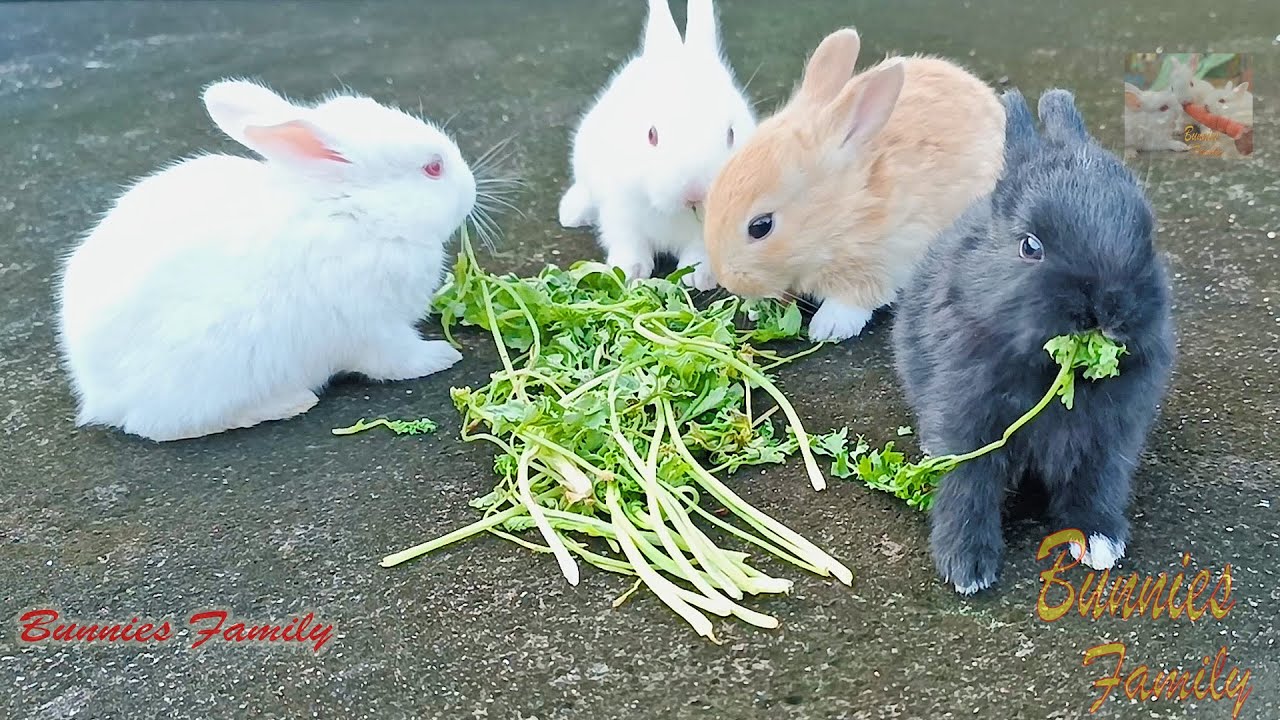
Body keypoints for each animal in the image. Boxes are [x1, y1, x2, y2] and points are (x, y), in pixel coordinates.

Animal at [55, 79, 476, 442]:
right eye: (433, 168)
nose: (471, 189)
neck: (357, 213)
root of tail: (100, 397)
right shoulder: (373, 327)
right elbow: (397, 359)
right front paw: (443, 356)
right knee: (163, 427)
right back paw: (288, 403)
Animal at [558, 0, 756, 292]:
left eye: (731, 134)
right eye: (651, 135)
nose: (694, 193)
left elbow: (699, 252)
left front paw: (699, 278)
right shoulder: (620, 212)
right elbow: (630, 243)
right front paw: (629, 272)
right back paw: (571, 214)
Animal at [701, 28, 1006, 341]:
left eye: (760, 226)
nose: (728, 279)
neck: (846, 210)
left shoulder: (889, 256)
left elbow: (854, 298)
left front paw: (828, 328)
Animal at [891, 88, 1176, 595]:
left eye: (1147, 233)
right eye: (1030, 246)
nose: (1111, 309)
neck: (1054, 375)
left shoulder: (1109, 438)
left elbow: (1097, 483)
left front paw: (1099, 541)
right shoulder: (967, 423)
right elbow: (968, 487)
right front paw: (967, 568)